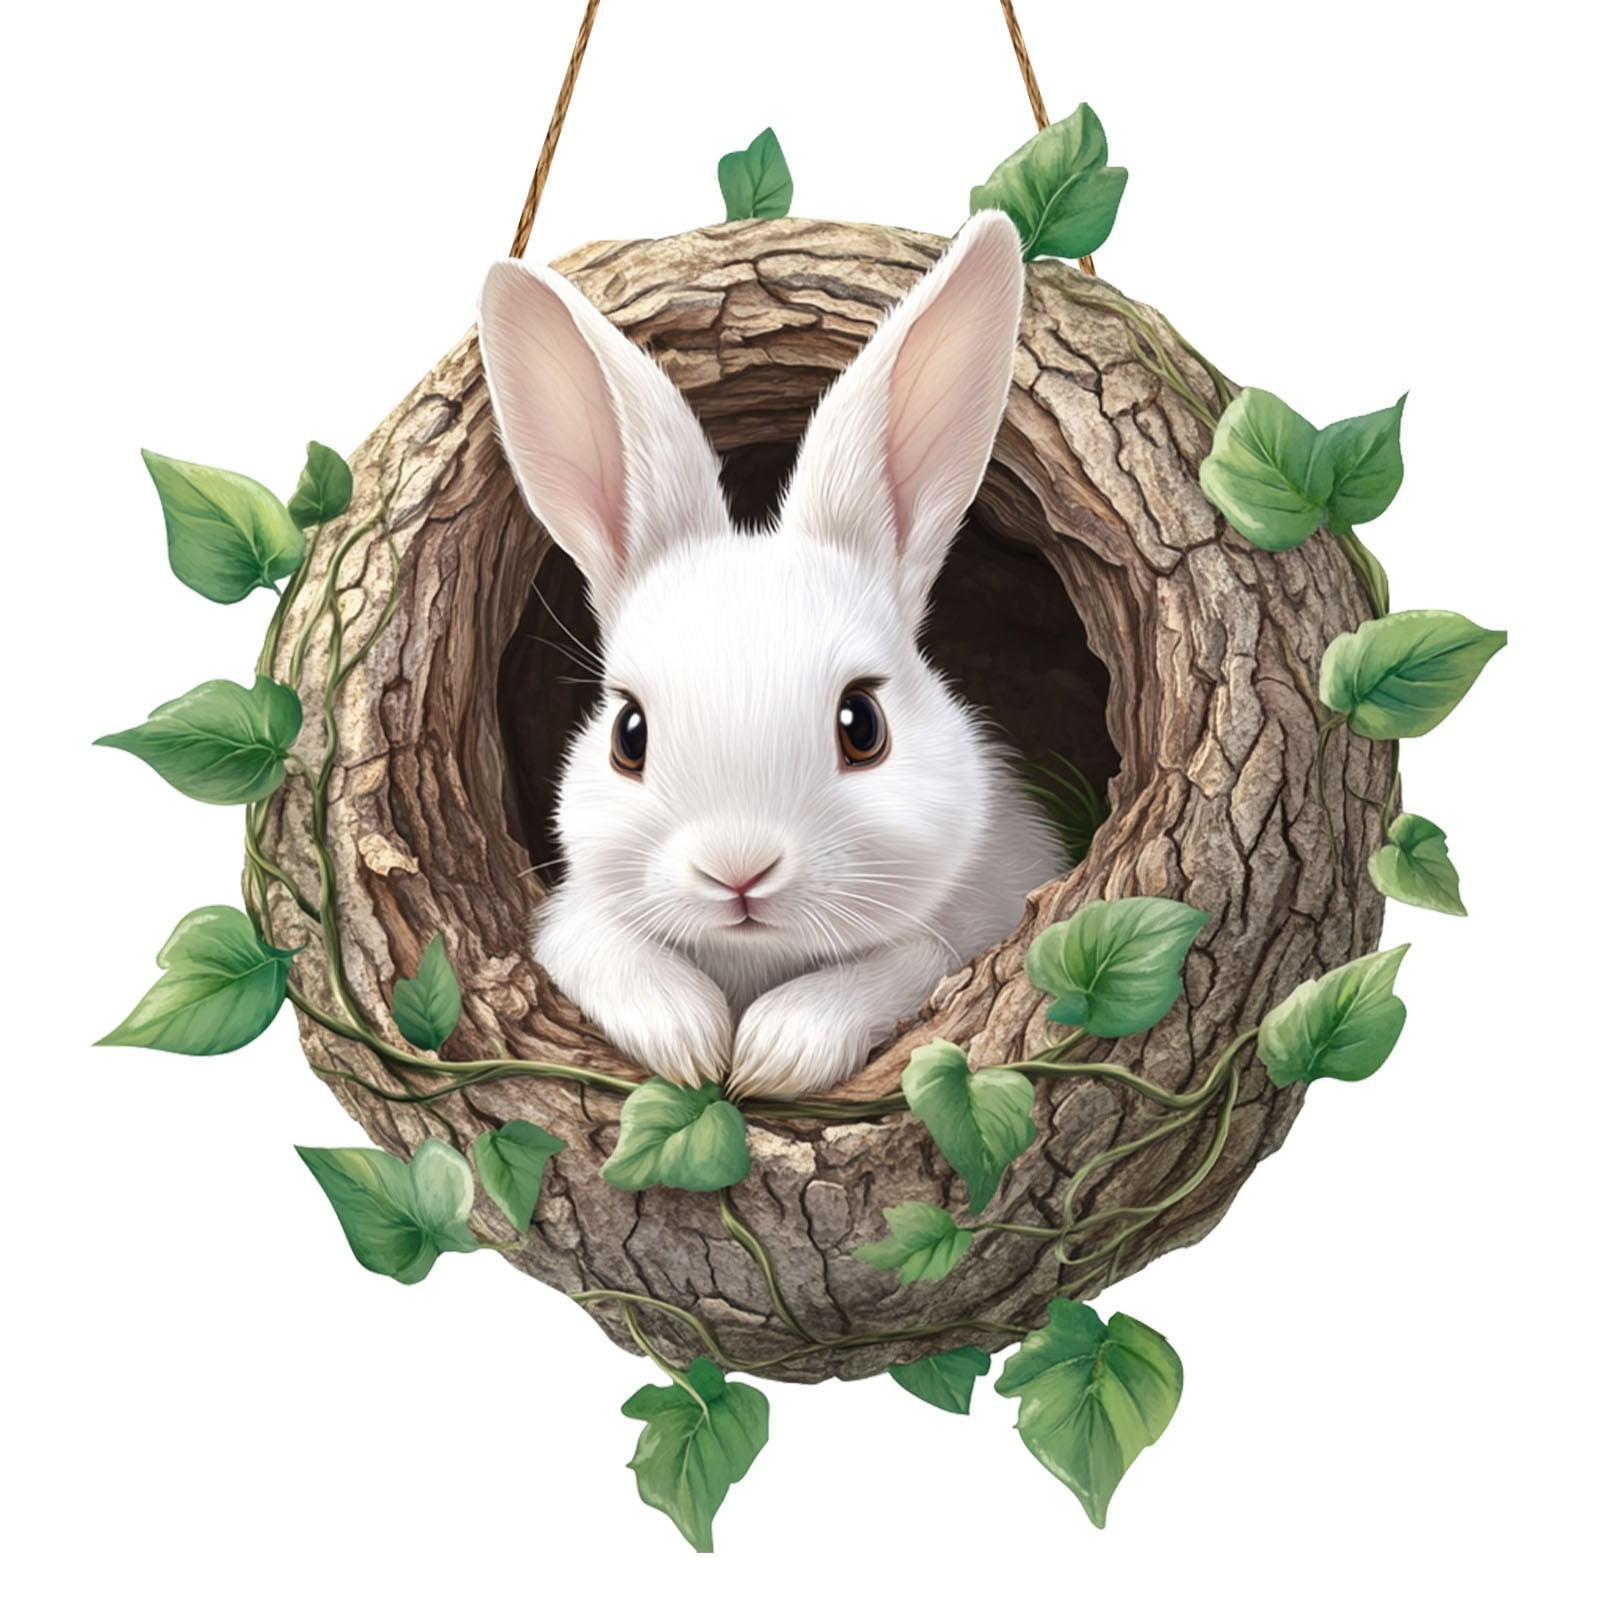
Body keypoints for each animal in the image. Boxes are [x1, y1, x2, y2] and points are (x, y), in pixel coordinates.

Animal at [476, 209, 1066, 1100]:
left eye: (863, 725)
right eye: (628, 735)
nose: (739, 869)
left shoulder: (965, 928)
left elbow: (907, 960)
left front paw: (768, 1055)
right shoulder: (573, 921)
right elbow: (602, 949)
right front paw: (690, 1040)